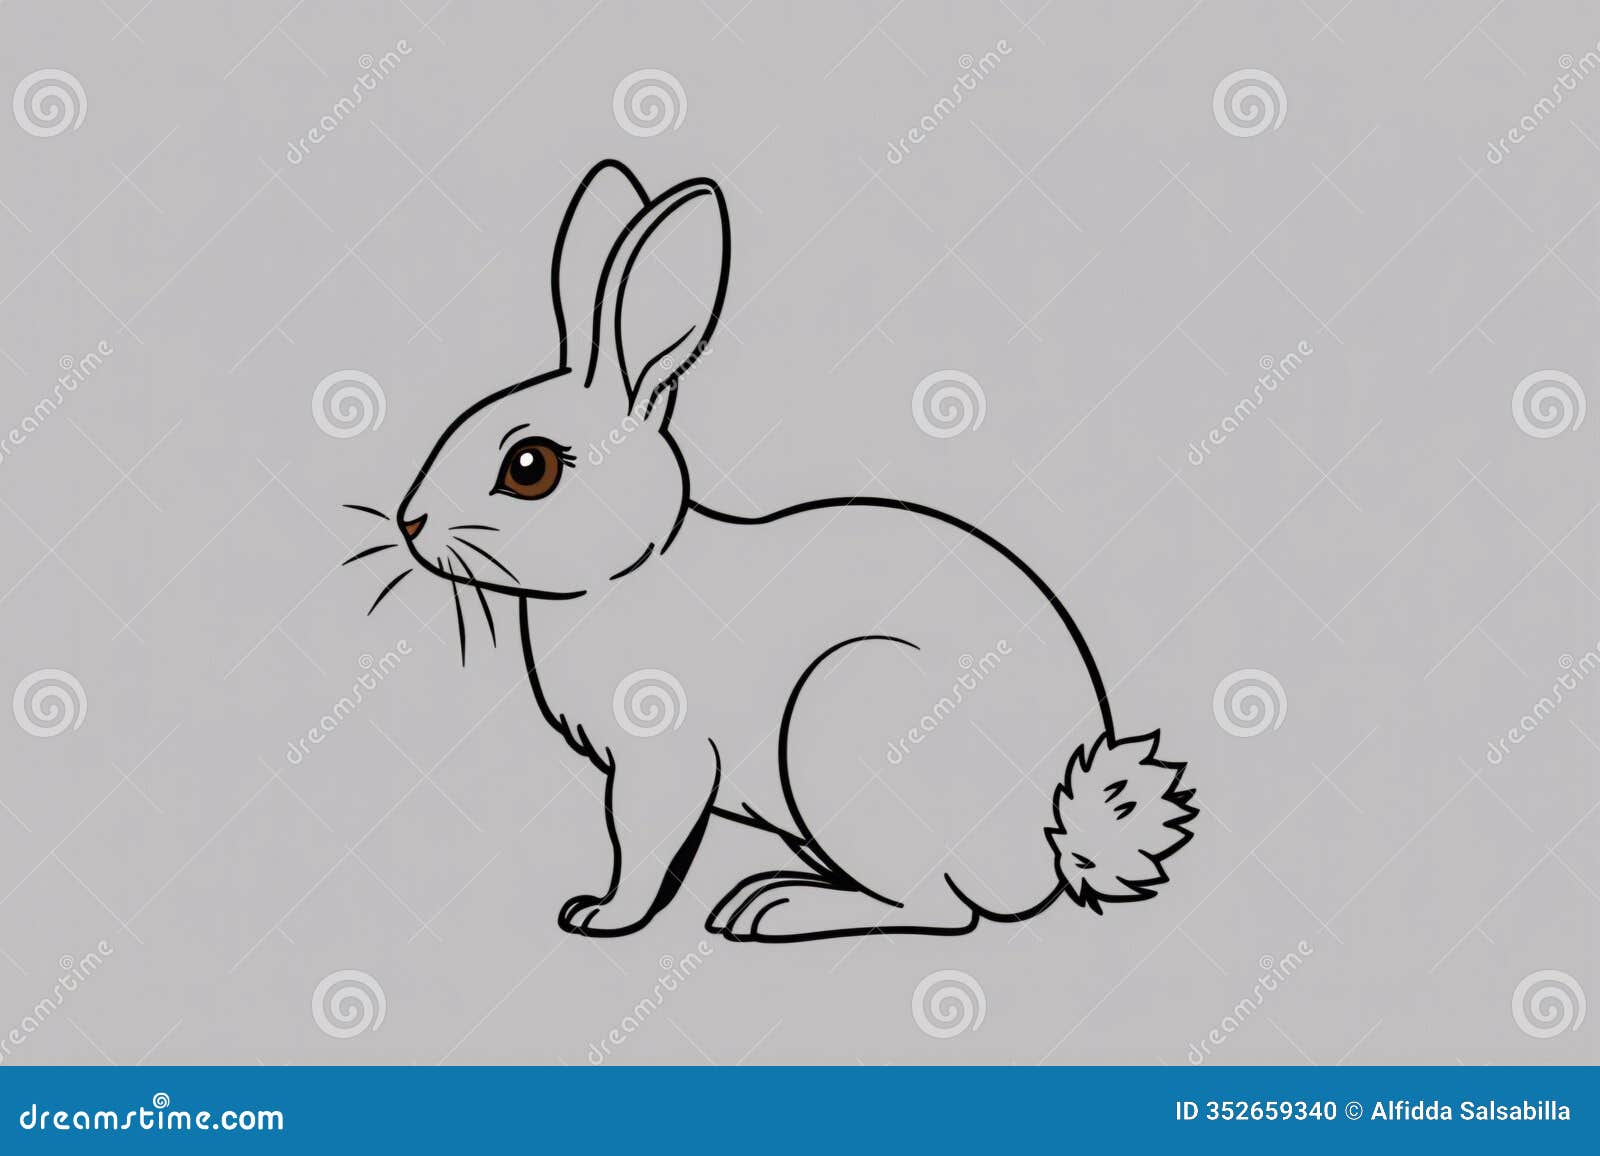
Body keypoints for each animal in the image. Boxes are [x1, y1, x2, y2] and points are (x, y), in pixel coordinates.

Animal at [375, 159, 1196, 942]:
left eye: (529, 467)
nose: (409, 523)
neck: (633, 570)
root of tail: (1060, 833)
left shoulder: (662, 760)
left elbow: (640, 844)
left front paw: (601, 916)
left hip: (848, 733)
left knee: (936, 909)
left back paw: (773, 911)